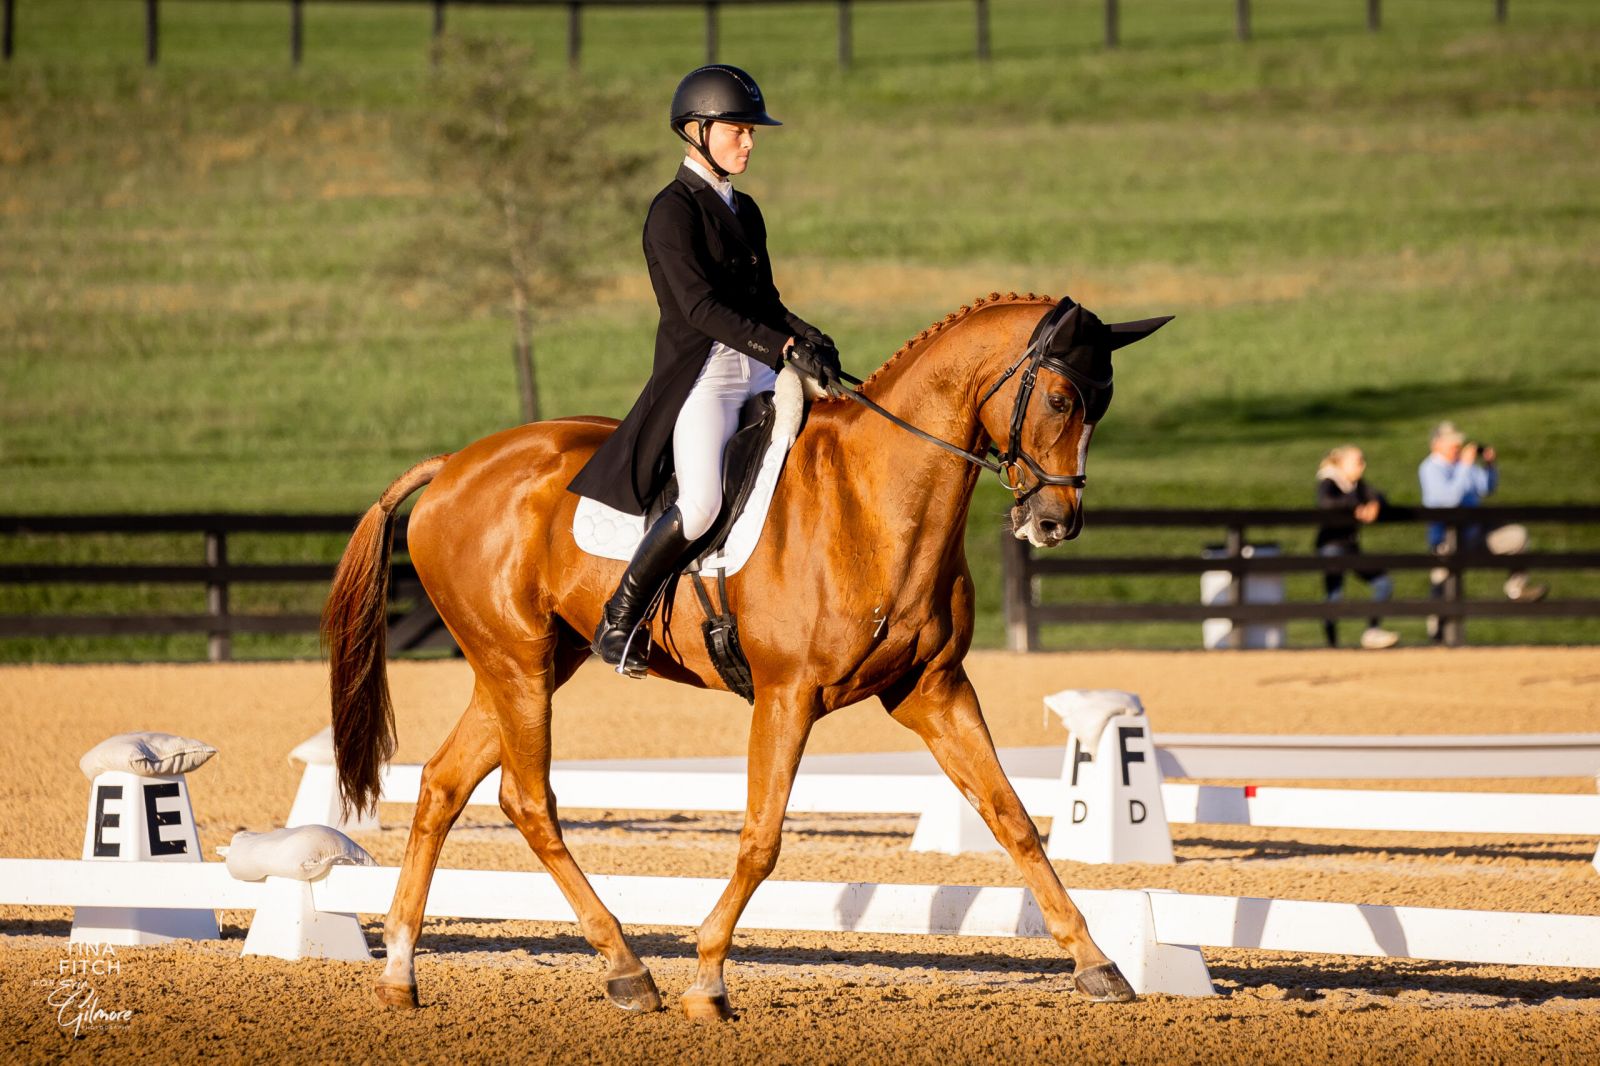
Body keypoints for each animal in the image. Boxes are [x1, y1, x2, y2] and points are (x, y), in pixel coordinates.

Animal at [324, 291, 1165, 1020]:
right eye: (1060, 400)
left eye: (1102, 404)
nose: (1054, 522)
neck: (876, 497)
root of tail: (454, 465)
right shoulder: (788, 695)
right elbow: (762, 839)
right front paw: (708, 978)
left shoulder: (934, 690)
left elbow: (1013, 819)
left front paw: (1098, 964)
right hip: (517, 665)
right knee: (528, 801)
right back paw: (627, 969)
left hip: (529, 666)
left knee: (442, 783)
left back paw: (400, 973)